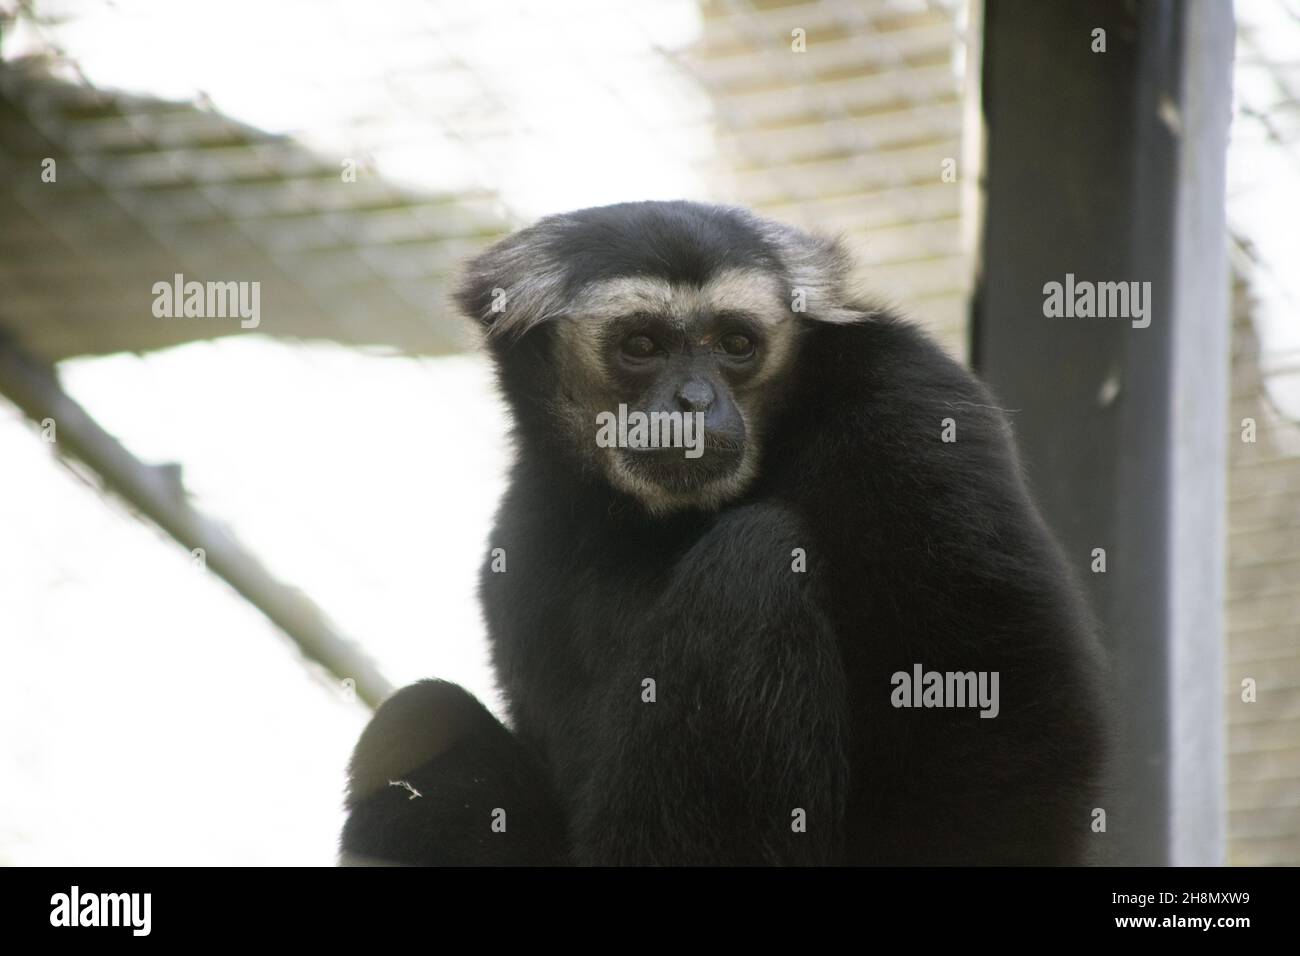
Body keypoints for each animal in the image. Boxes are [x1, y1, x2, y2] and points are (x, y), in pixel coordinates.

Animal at [340, 200, 1111, 866]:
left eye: (736, 344)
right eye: (642, 344)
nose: (695, 399)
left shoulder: (916, 405)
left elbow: (996, 702)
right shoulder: (525, 524)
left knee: (753, 562)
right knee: (419, 715)